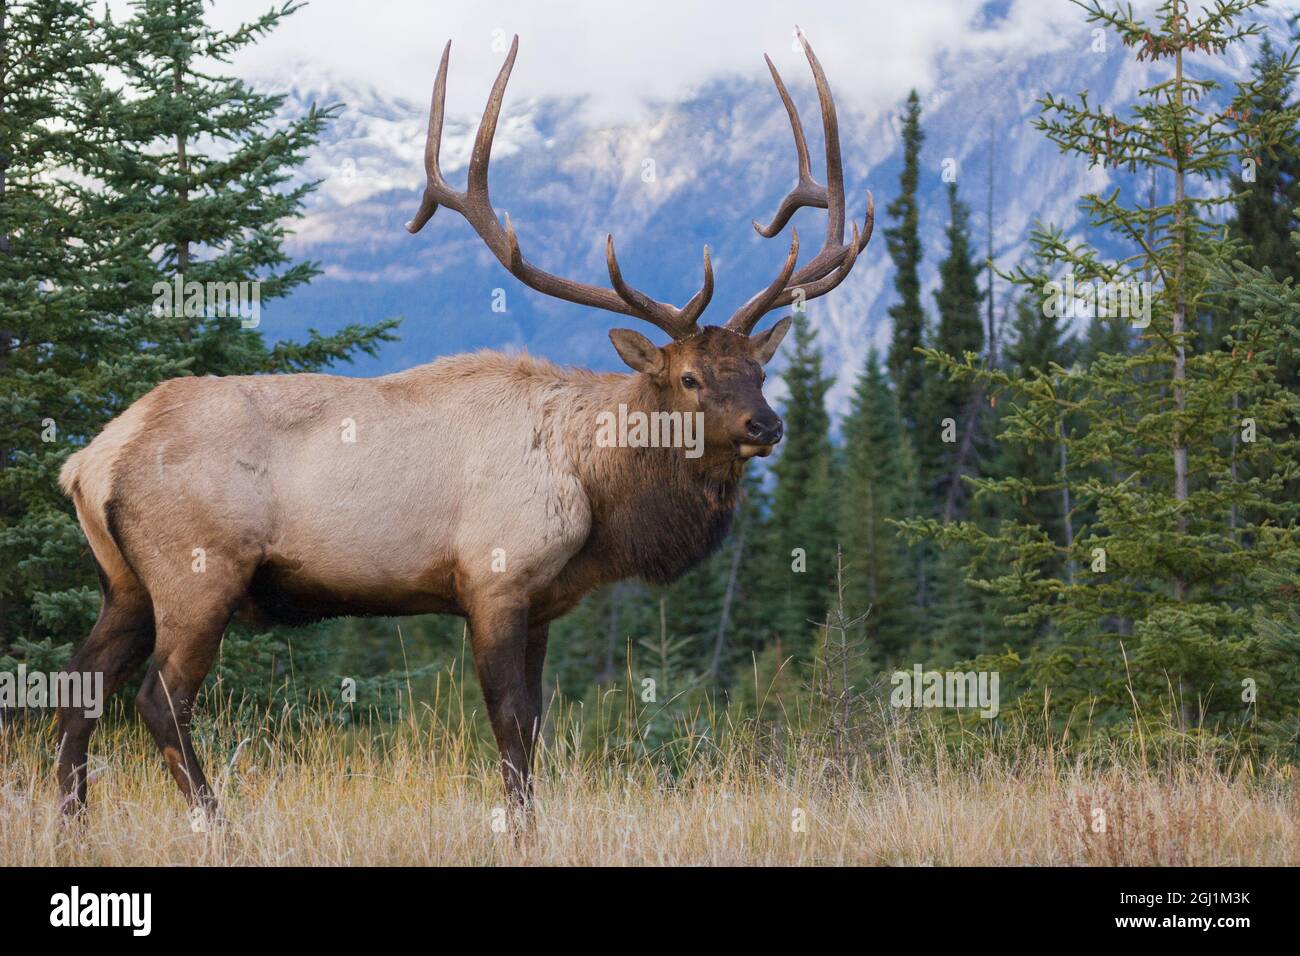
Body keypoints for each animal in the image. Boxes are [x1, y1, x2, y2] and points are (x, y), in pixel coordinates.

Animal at [55, 28, 872, 823]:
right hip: (199, 571)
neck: (595, 491)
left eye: (759, 371)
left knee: (78, 688)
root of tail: (88, 462)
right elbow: (510, 725)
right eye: (690, 378)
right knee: (158, 701)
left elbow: (536, 726)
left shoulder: (545, 604)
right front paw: (521, 829)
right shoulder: (494, 579)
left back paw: (73, 822)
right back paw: (219, 823)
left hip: (124, 583)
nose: (766, 424)